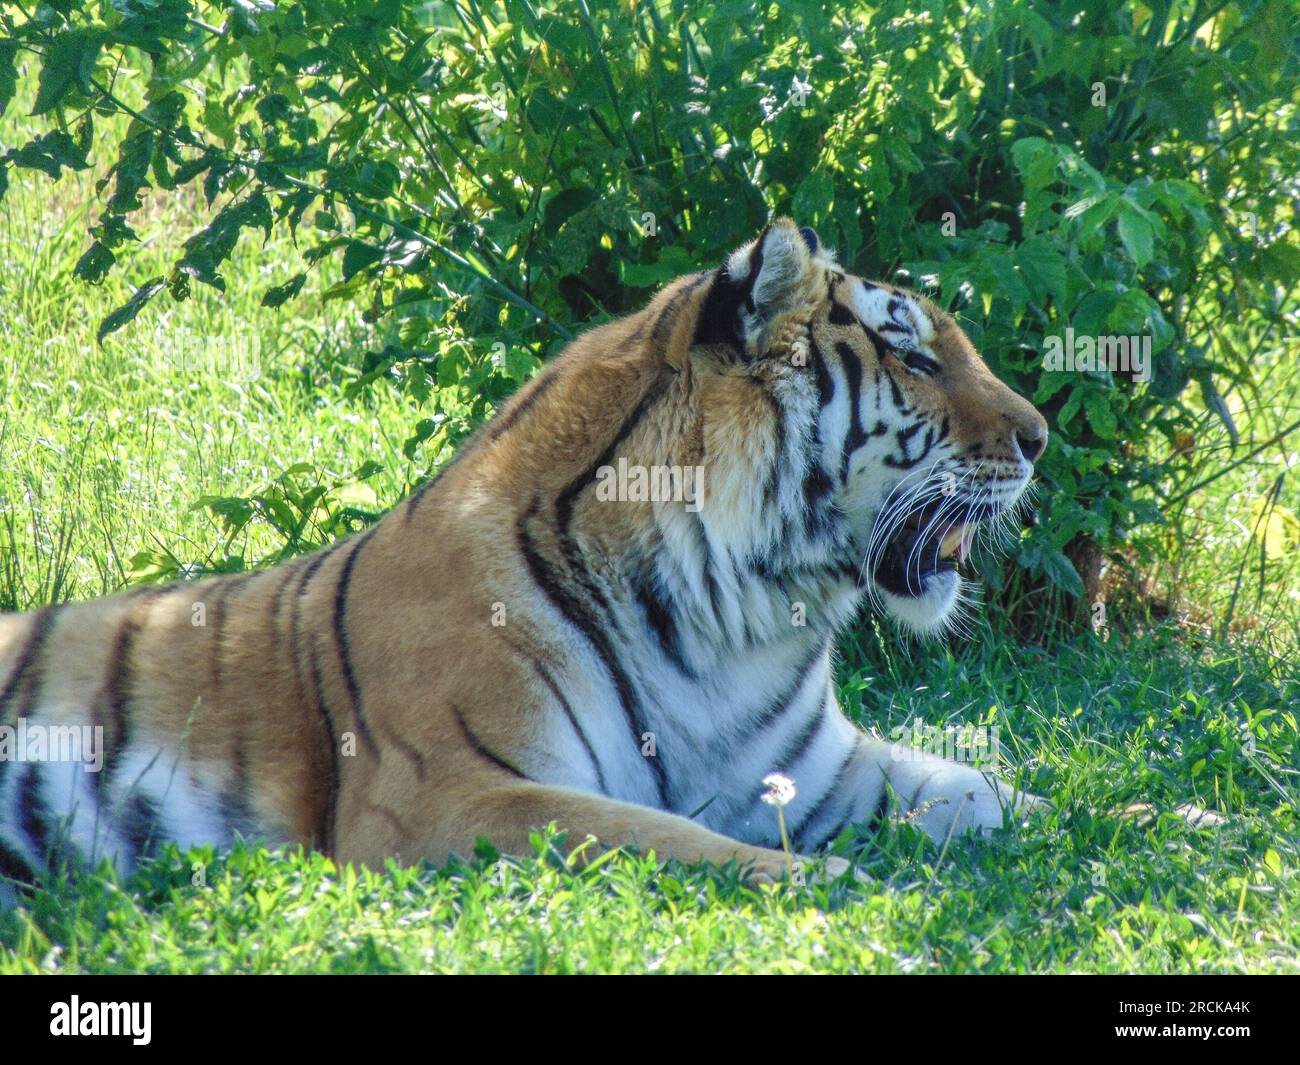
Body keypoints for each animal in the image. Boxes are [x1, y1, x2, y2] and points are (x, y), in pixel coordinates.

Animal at [0, 217, 1053, 894]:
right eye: (911, 357)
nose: (1041, 437)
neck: (740, 619)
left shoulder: (824, 768)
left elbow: (993, 792)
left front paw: (1091, 822)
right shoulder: (445, 797)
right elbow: (664, 836)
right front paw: (844, 882)